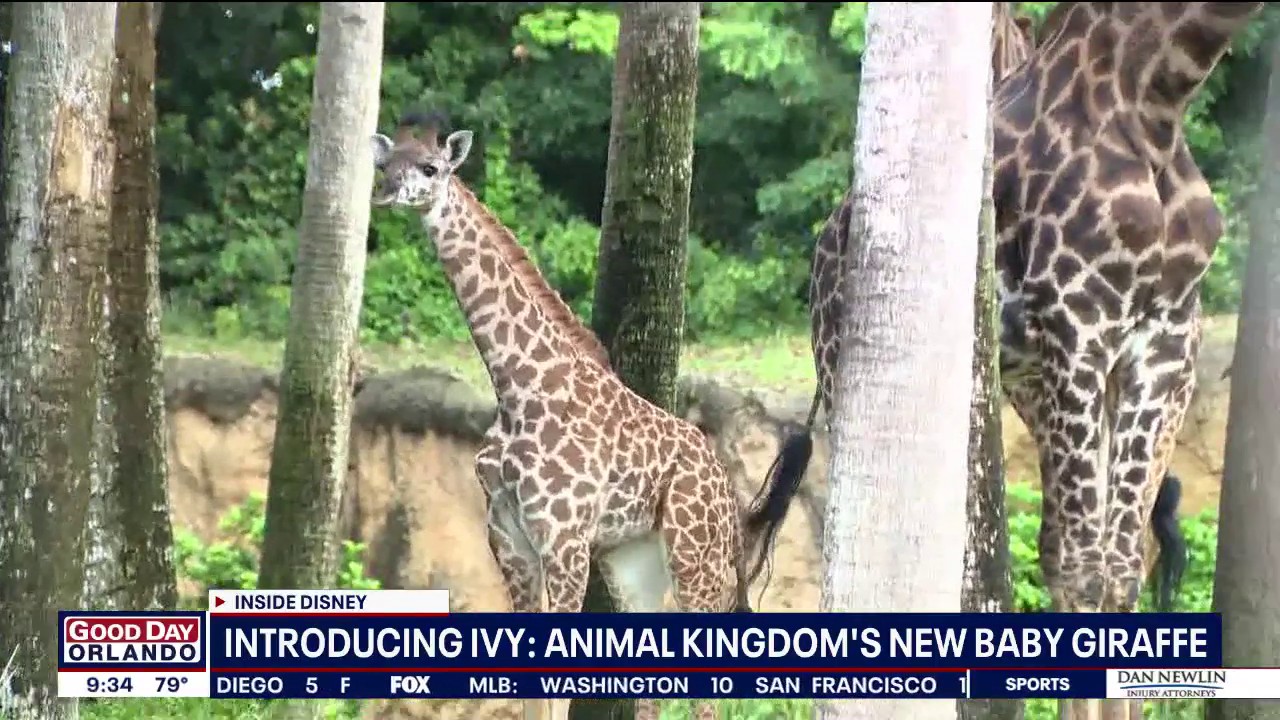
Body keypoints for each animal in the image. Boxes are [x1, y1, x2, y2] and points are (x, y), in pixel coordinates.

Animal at [368, 110, 807, 720]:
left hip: (695, 555)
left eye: (431, 167)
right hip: (633, 560)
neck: (516, 386)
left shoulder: (565, 541)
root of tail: (727, 492)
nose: (386, 191)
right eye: (385, 163)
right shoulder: (510, 540)